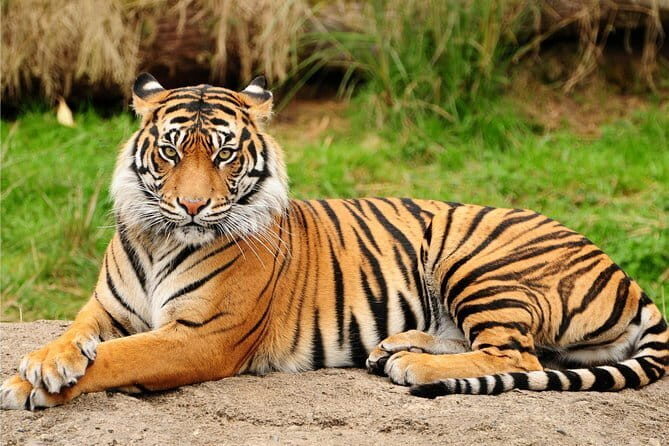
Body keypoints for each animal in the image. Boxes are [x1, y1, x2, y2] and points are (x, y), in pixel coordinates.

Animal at [1, 73, 667, 410]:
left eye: (223, 154)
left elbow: (119, 357)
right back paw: (395, 347)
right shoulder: (106, 308)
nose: (191, 206)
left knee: (518, 357)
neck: (162, 237)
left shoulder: (202, 336)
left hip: (477, 260)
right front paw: (42, 363)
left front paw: (28, 385)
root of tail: (625, 274)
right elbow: (77, 335)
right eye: (170, 150)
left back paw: (413, 365)